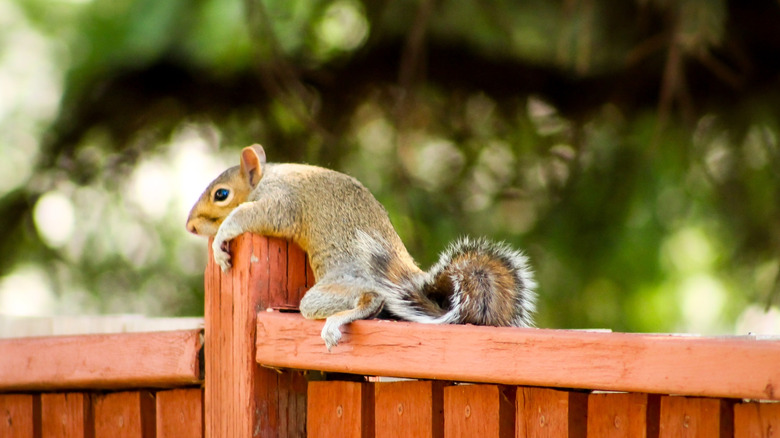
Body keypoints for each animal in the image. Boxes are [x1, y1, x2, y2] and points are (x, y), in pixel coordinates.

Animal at [186, 144, 537, 350]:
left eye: (221, 194)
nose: (190, 226)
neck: (267, 177)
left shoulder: (281, 202)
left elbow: (250, 215)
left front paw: (220, 242)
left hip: (336, 289)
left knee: (371, 301)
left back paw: (338, 321)